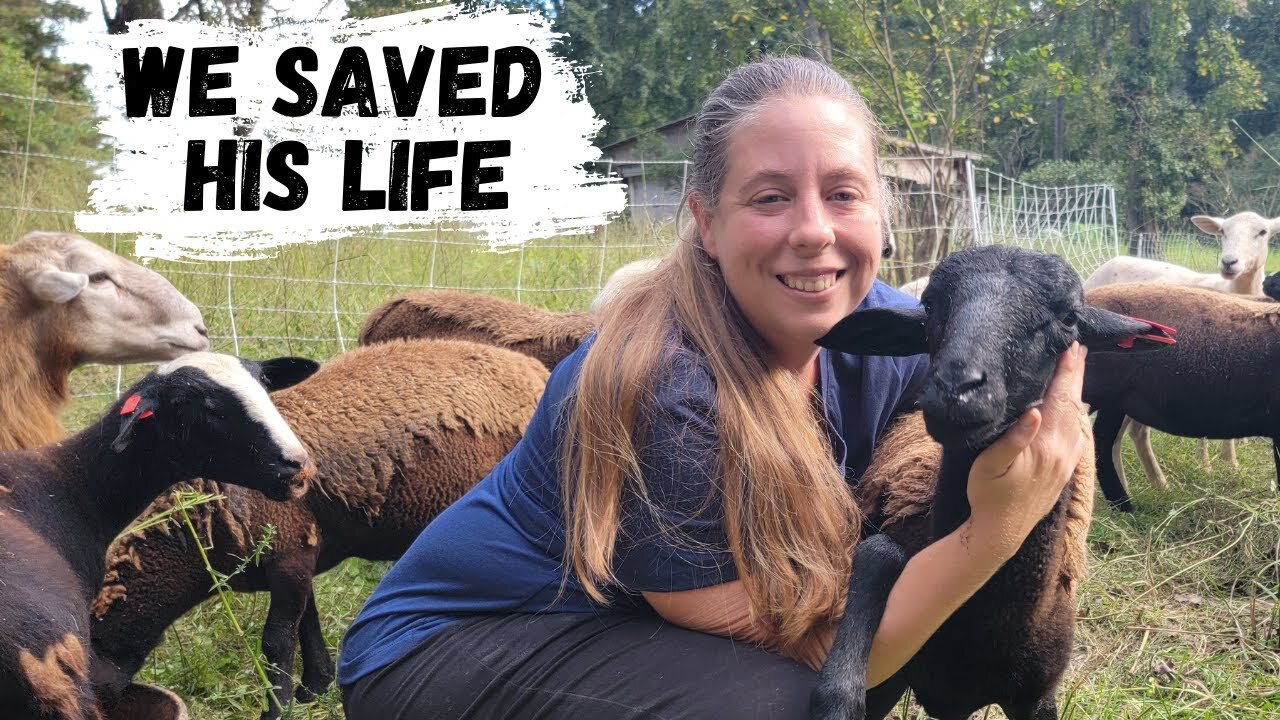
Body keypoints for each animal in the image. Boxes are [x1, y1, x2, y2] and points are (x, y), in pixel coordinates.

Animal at [90, 338, 549, 720]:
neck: (194, 529)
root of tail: (531, 370)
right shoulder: (300, 554)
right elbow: (306, 624)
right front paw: (314, 688)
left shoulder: (289, 555)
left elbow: (277, 641)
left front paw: (276, 710)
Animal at [810, 245, 1173, 720]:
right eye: (929, 307)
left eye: (1069, 318)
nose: (956, 389)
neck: (980, 621)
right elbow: (878, 556)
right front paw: (837, 693)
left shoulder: (1036, 698)